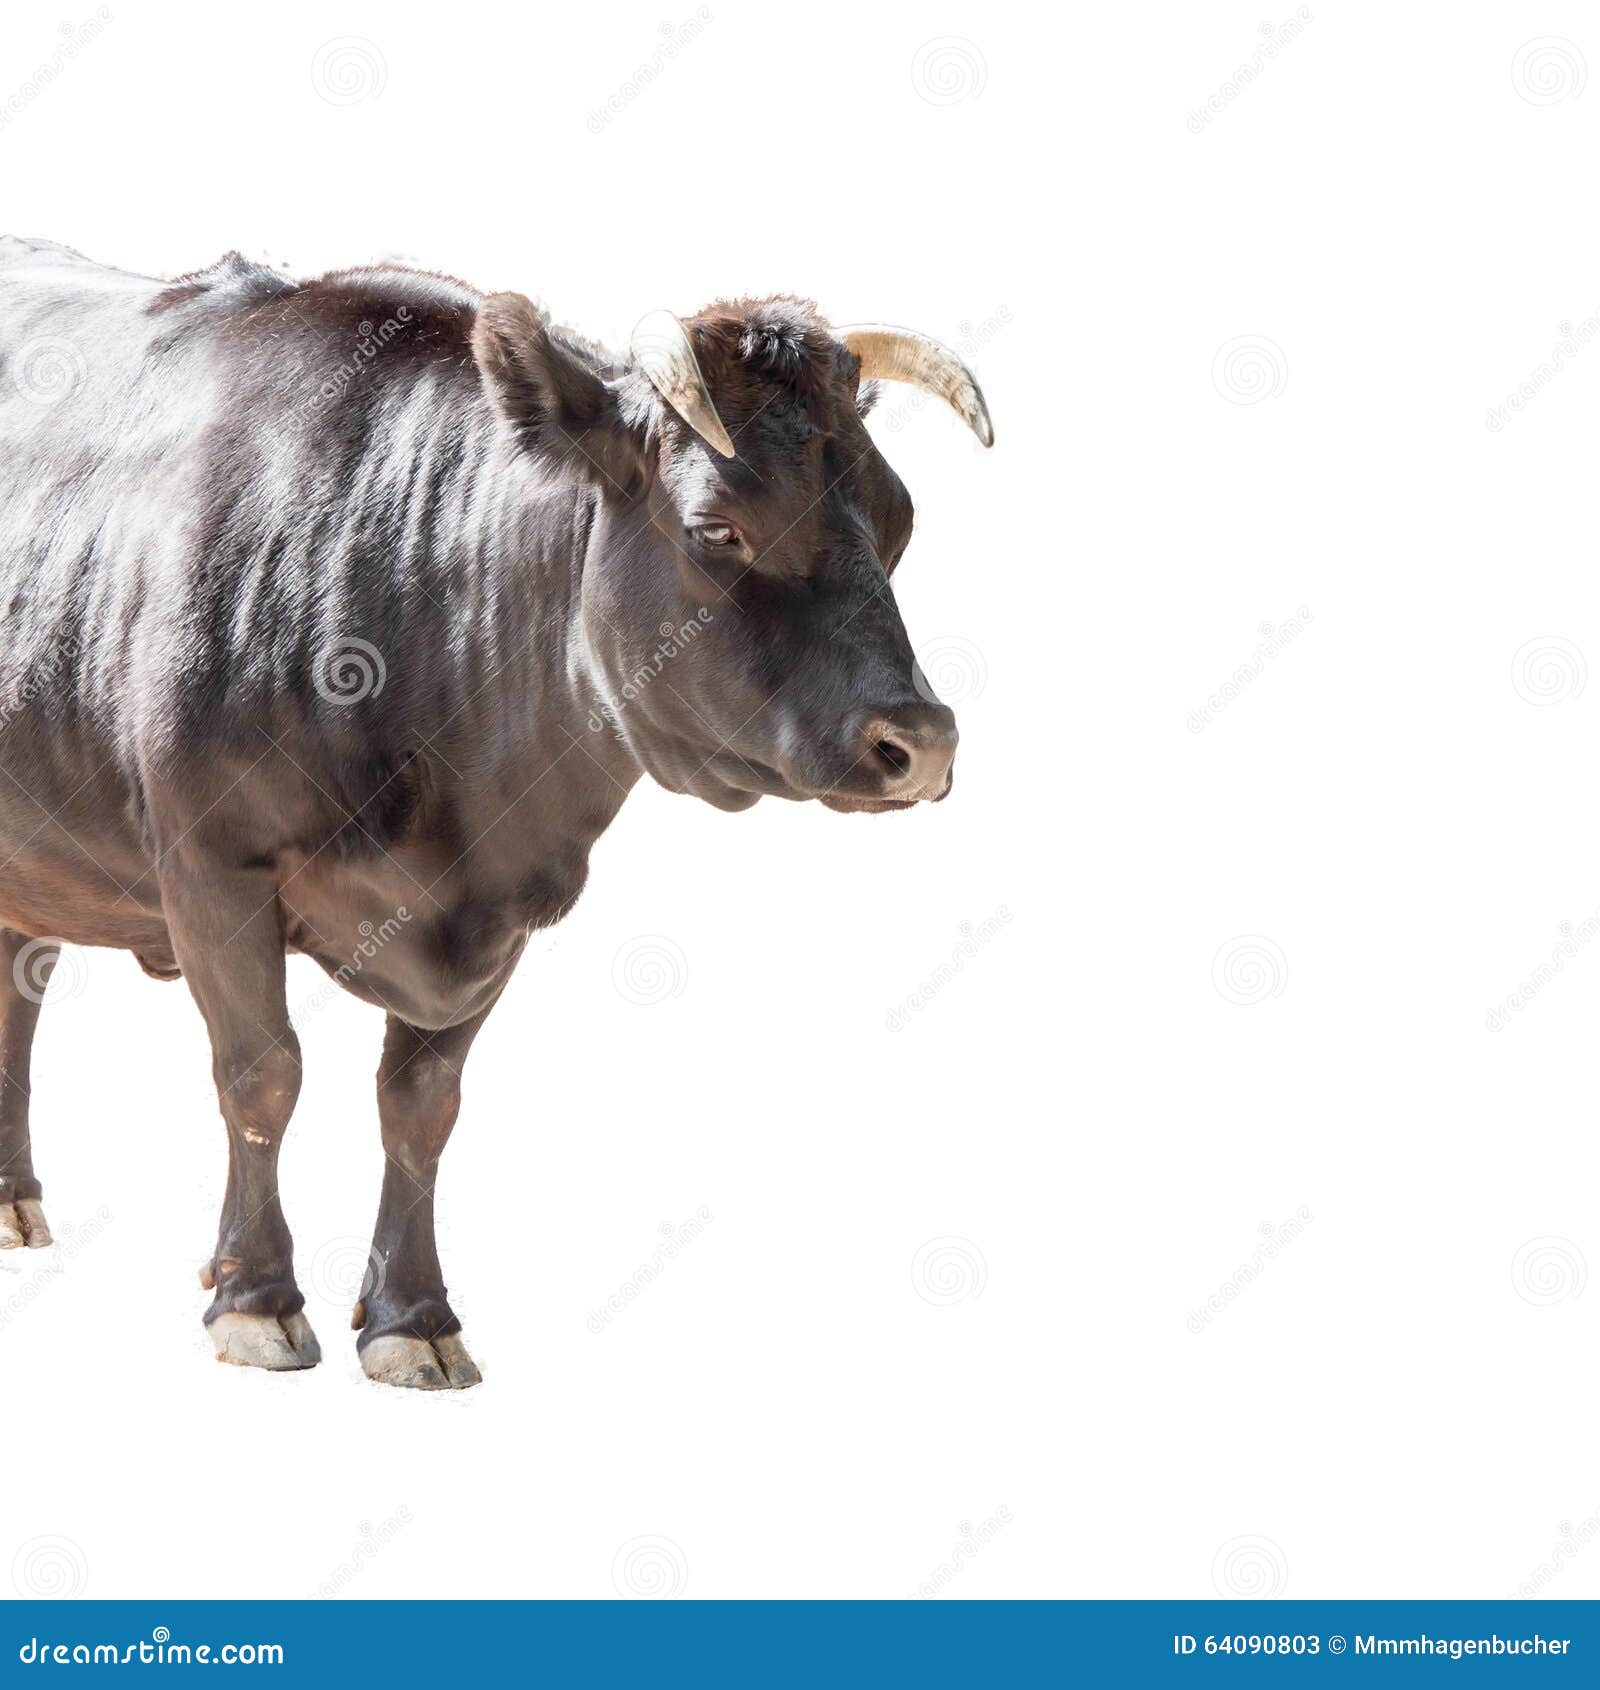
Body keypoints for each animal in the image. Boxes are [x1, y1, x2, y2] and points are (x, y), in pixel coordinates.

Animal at [0, 236, 992, 1389]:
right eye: (718, 526)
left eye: (900, 518)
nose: (920, 741)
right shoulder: (211, 866)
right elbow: (263, 1075)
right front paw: (253, 1298)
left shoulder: (505, 904)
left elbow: (421, 1107)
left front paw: (412, 1318)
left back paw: (12, 1200)